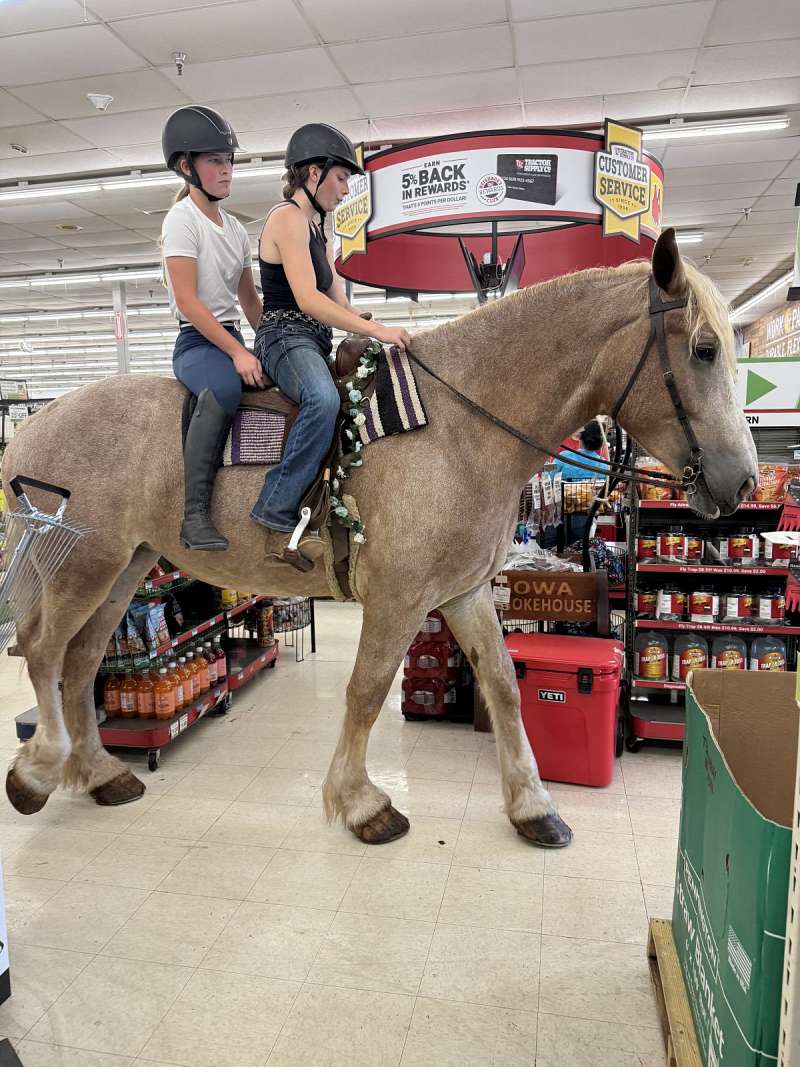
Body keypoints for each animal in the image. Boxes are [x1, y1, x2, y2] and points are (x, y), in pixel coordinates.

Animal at [2, 229, 757, 849]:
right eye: (704, 349)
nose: (744, 479)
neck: (457, 426)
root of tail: (34, 425)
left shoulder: (462, 592)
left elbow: (505, 686)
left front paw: (532, 805)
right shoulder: (399, 598)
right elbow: (366, 691)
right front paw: (361, 803)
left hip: (124, 567)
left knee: (80, 662)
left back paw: (100, 771)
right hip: (82, 565)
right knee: (43, 650)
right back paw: (38, 771)